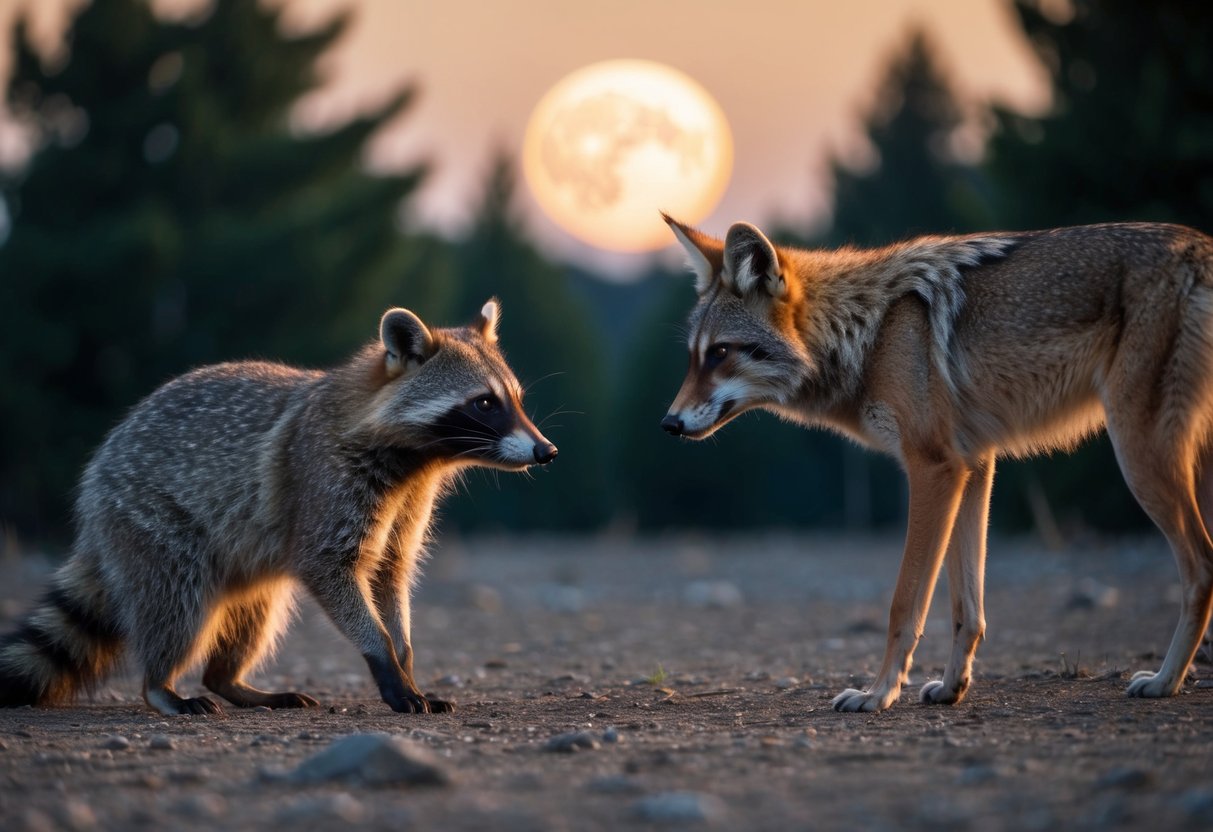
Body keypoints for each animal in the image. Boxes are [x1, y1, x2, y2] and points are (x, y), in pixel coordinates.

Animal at [0, 300, 557, 715]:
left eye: (516, 398)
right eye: (484, 403)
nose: (546, 451)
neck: (418, 458)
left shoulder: (408, 502)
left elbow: (391, 574)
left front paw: (404, 659)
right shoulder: (324, 480)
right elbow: (328, 568)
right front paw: (383, 658)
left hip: (243, 560)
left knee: (254, 613)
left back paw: (229, 680)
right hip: (150, 518)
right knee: (176, 601)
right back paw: (161, 683)